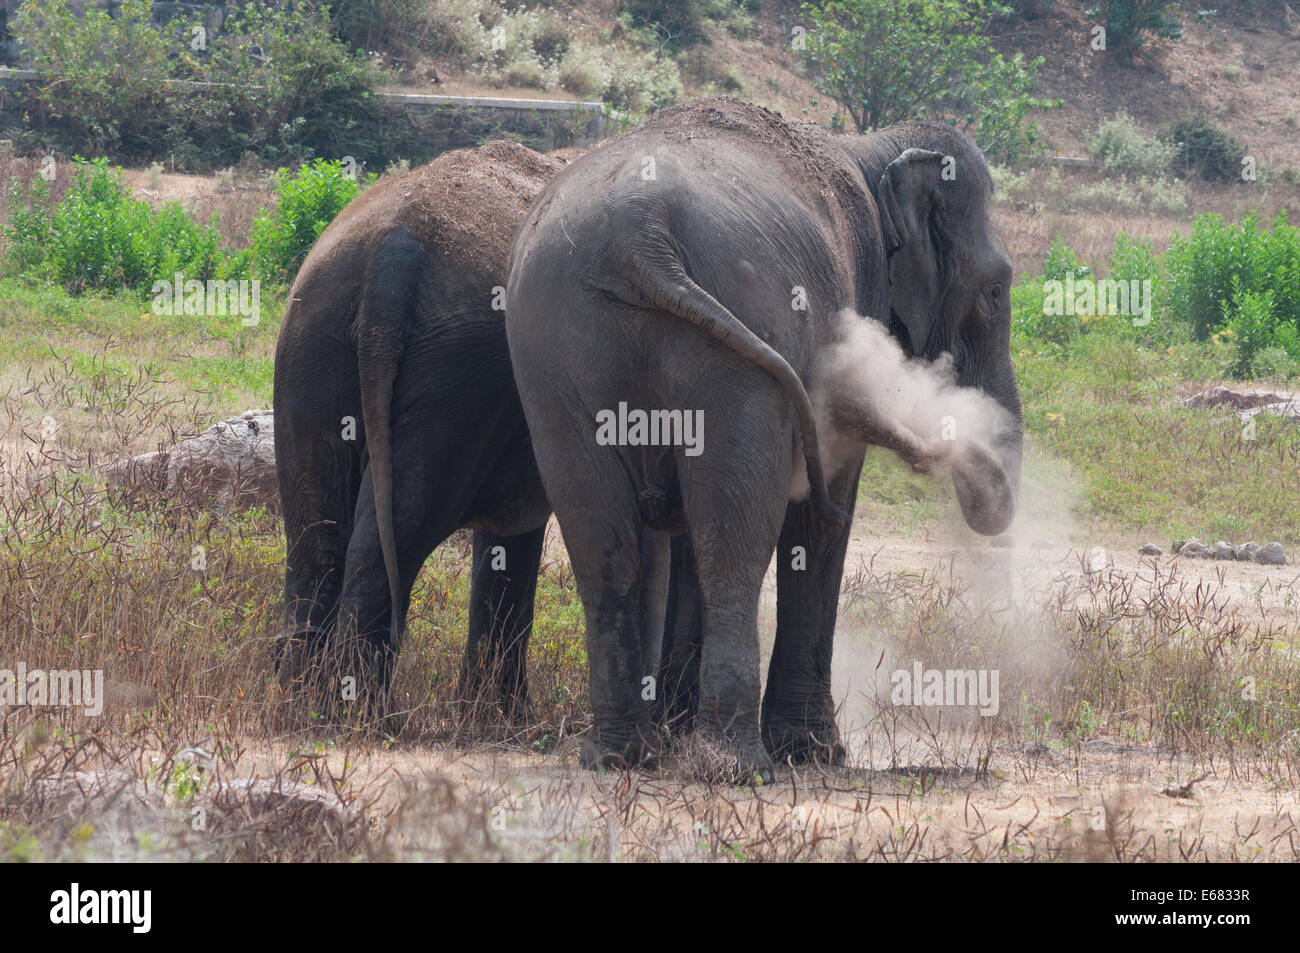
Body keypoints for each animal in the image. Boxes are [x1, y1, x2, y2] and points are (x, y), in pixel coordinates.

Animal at [273, 140, 565, 717]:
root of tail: (394, 254)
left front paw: (498, 718)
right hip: (457, 372)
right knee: (399, 530)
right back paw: (359, 714)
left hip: (312, 341)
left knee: (316, 536)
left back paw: (302, 702)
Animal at [505, 97, 1023, 782]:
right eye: (994, 292)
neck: (871, 151)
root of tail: (639, 240)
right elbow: (823, 513)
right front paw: (818, 752)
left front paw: (677, 731)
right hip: (737, 349)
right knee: (735, 539)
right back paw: (737, 765)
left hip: (553, 352)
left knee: (604, 542)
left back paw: (620, 754)